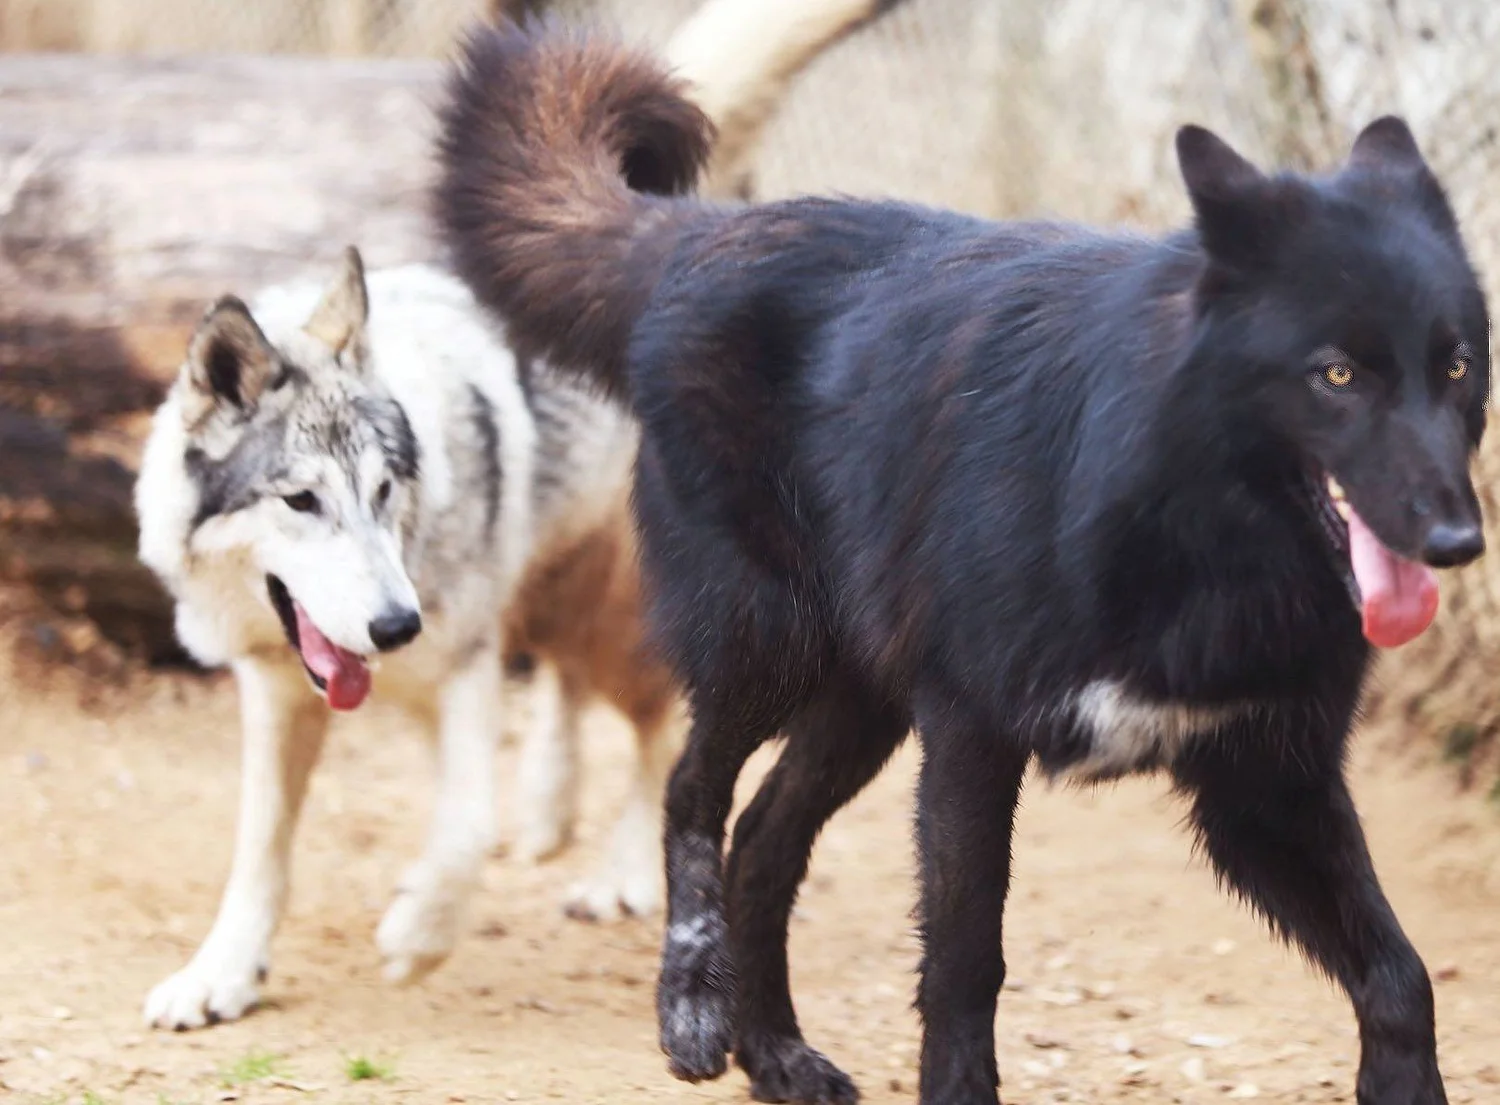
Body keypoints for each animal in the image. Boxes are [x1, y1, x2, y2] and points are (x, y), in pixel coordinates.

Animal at [435, 20, 1487, 1105]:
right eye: (1337, 374)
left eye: (1455, 366)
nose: (1460, 543)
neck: (1189, 525)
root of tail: (704, 234)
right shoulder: (972, 739)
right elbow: (965, 962)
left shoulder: (1266, 785)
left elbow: (1401, 974)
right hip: (766, 648)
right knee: (691, 793)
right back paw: (692, 1008)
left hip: (860, 705)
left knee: (760, 842)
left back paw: (777, 1054)